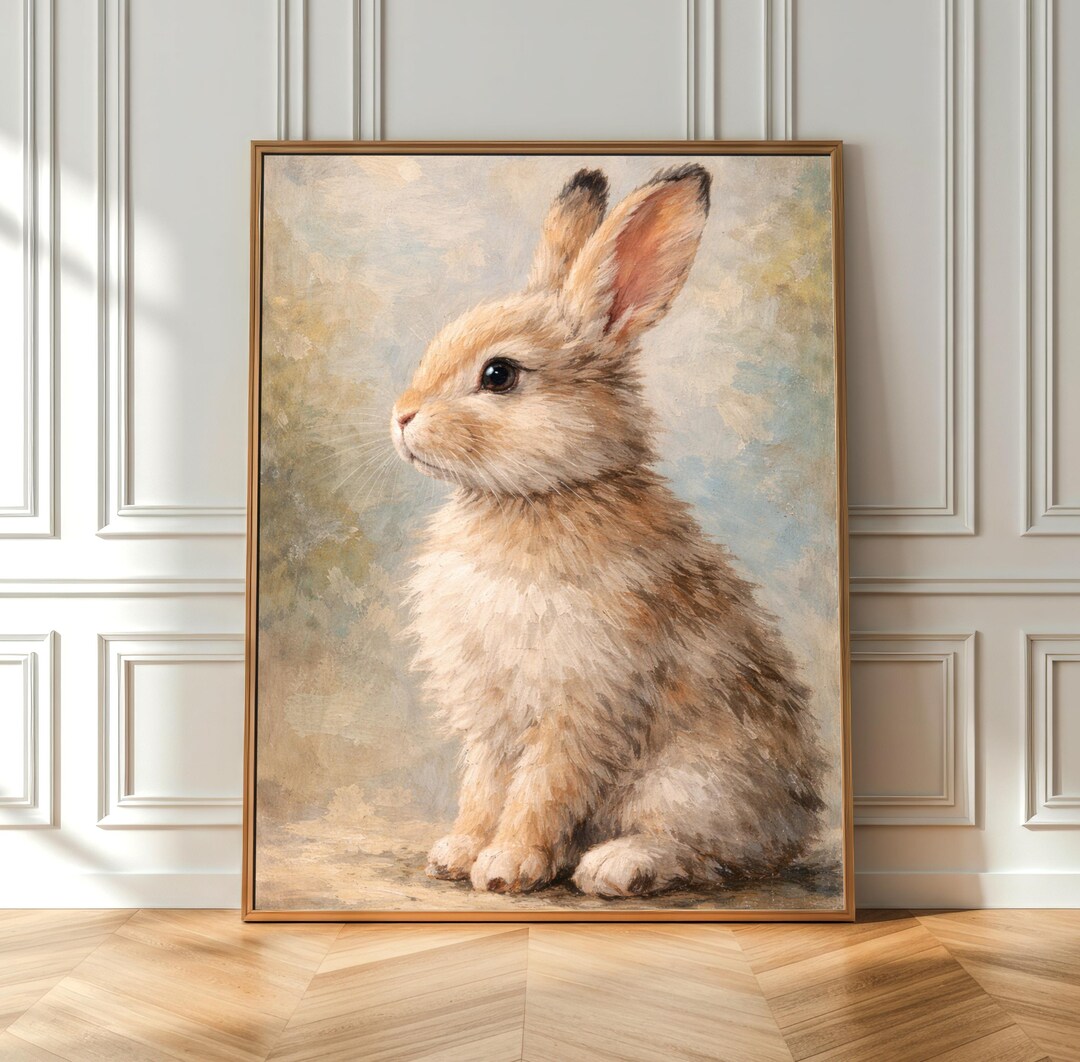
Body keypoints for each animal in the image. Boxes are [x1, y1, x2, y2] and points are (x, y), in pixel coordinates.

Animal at [390, 163, 826, 898]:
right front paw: (459, 852)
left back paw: (617, 866)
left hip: (691, 780)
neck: (539, 496)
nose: (400, 417)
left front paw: (505, 867)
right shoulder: (490, 714)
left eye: (499, 374)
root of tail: (801, 816)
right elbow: (484, 785)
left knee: (709, 853)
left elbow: (541, 789)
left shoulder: (584, 699)